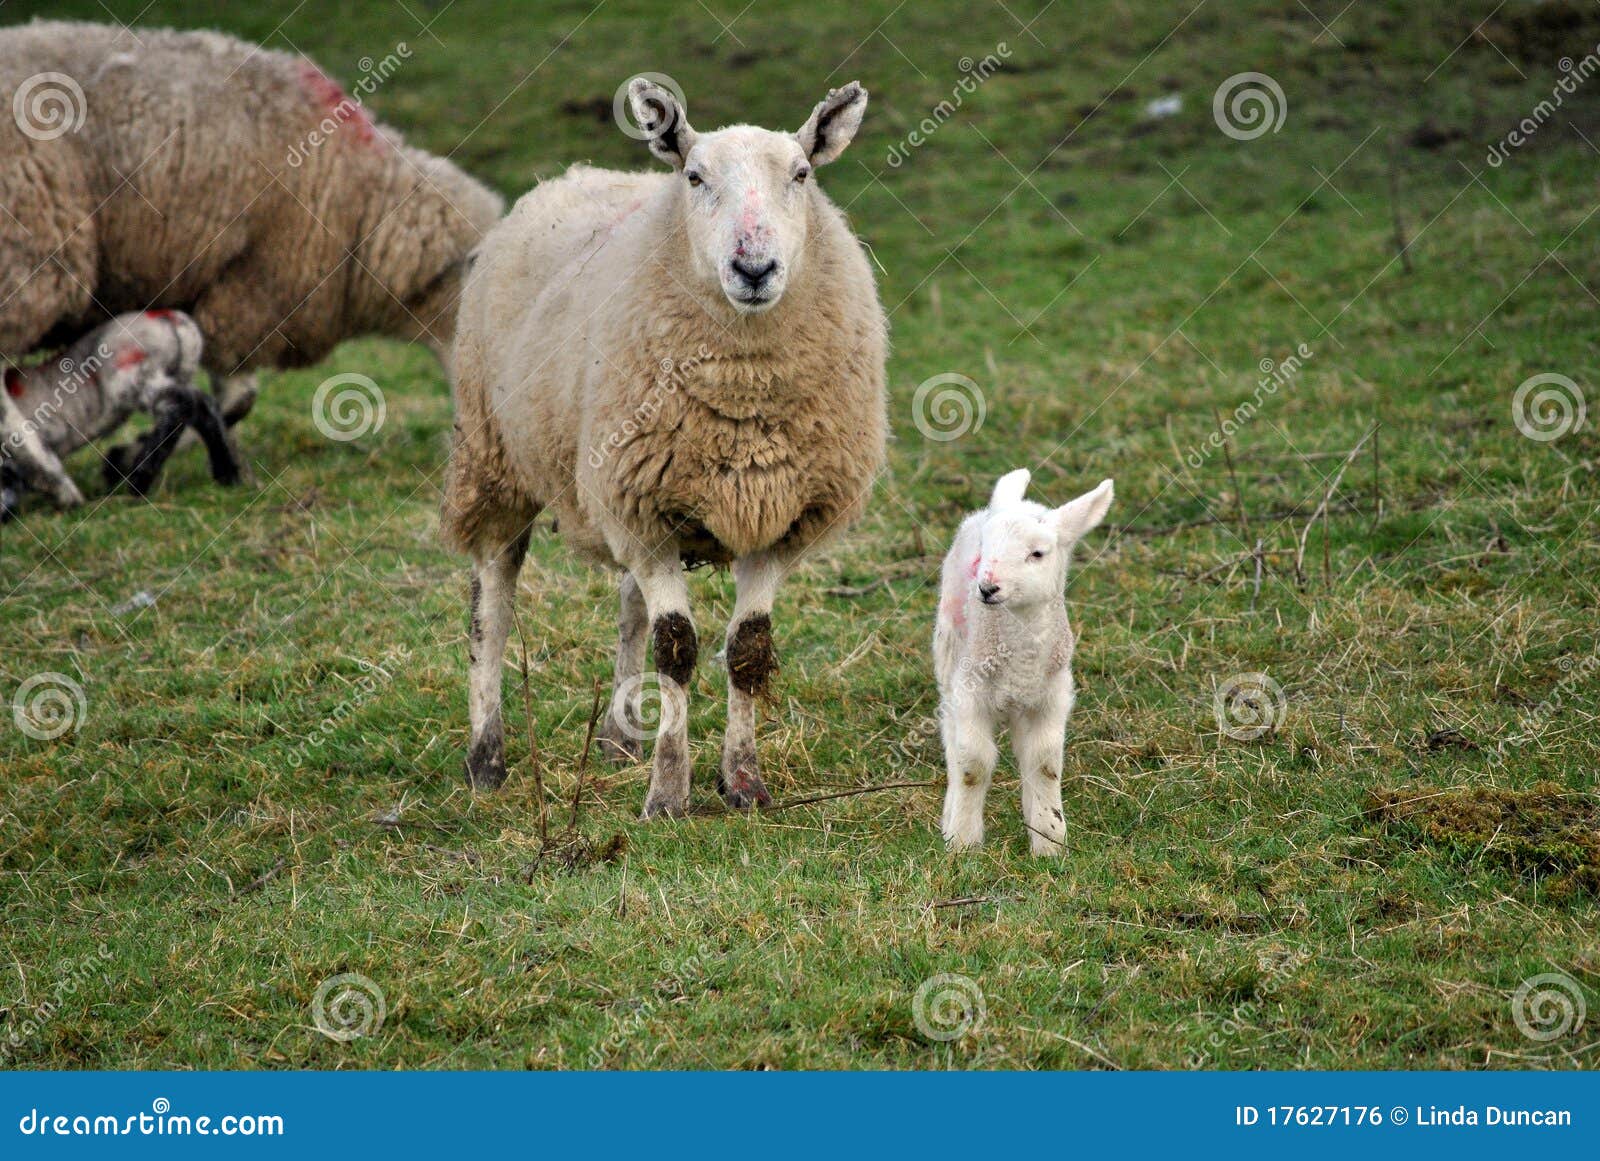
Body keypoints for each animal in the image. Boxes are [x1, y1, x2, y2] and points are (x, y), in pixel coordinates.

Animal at [1, 310, 240, 521]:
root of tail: (168, 317)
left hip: (132, 377)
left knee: (178, 407)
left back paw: (138, 481)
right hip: (177, 372)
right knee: (202, 404)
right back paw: (227, 473)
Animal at [441, 78, 887, 818]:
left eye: (802, 174)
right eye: (695, 177)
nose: (754, 267)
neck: (745, 386)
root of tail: (572, 176)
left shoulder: (779, 517)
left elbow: (748, 651)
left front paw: (743, 782)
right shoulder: (644, 513)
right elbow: (676, 651)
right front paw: (668, 793)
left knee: (628, 608)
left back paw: (620, 737)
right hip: (495, 456)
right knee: (491, 609)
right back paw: (486, 758)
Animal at [934, 469, 1114, 855]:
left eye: (1037, 553)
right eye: (986, 548)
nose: (987, 588)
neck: (1021, 656)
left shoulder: (1053, 696)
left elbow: (1044, 763)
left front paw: (1050, 840)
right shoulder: (970, 691)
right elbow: (973, 764)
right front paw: (963, 842)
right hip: (949, 652)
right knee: (951, 737)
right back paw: (950, 815)